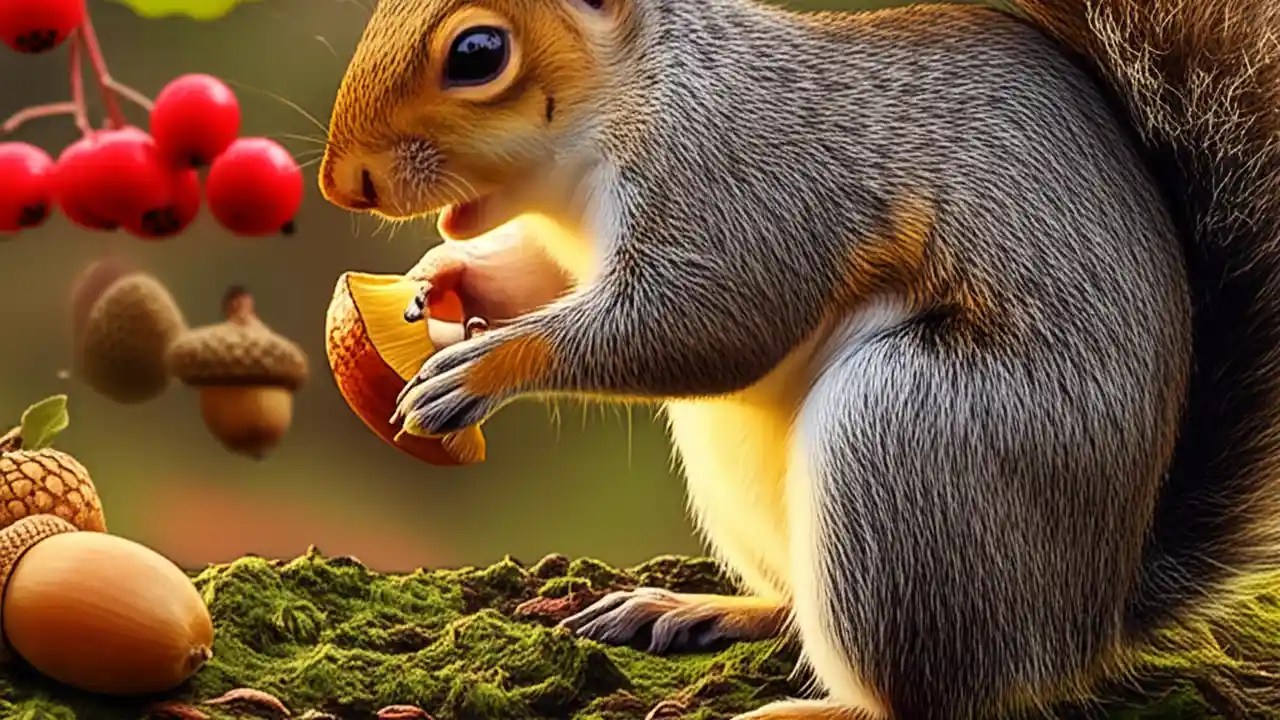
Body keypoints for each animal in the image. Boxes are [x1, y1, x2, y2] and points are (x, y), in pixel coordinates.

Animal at [318, 0, 1280, 718]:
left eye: (478, 51)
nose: (339, 183)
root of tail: (1091, 617)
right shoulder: (577, 245)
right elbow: (533, 276)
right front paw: (439, 279)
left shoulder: (745, 181)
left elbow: (701, 324)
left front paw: (481, 368)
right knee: (798, 608)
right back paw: (704, 607)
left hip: (906, 438)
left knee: (922, 696)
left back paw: (818, 707)